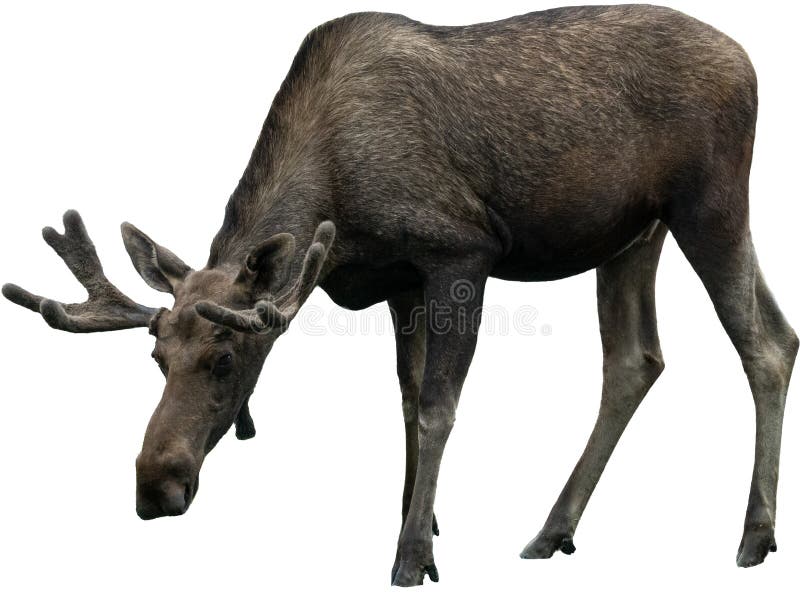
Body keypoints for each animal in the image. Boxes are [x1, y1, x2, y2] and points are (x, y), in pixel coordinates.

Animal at [3, 5, 797, 586]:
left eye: (226, 358)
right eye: (157, 357)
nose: (154, 487)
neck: (338, 210)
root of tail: (752, 64)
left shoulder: (460, 252)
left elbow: (440, 405)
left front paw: (411, 555)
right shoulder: (399, 281)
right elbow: (408, 400)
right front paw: (422, 525)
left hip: (710, 202)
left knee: (761, 343)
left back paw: (754, 535)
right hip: (636, 233)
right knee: (647, 357)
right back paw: (553, 529)